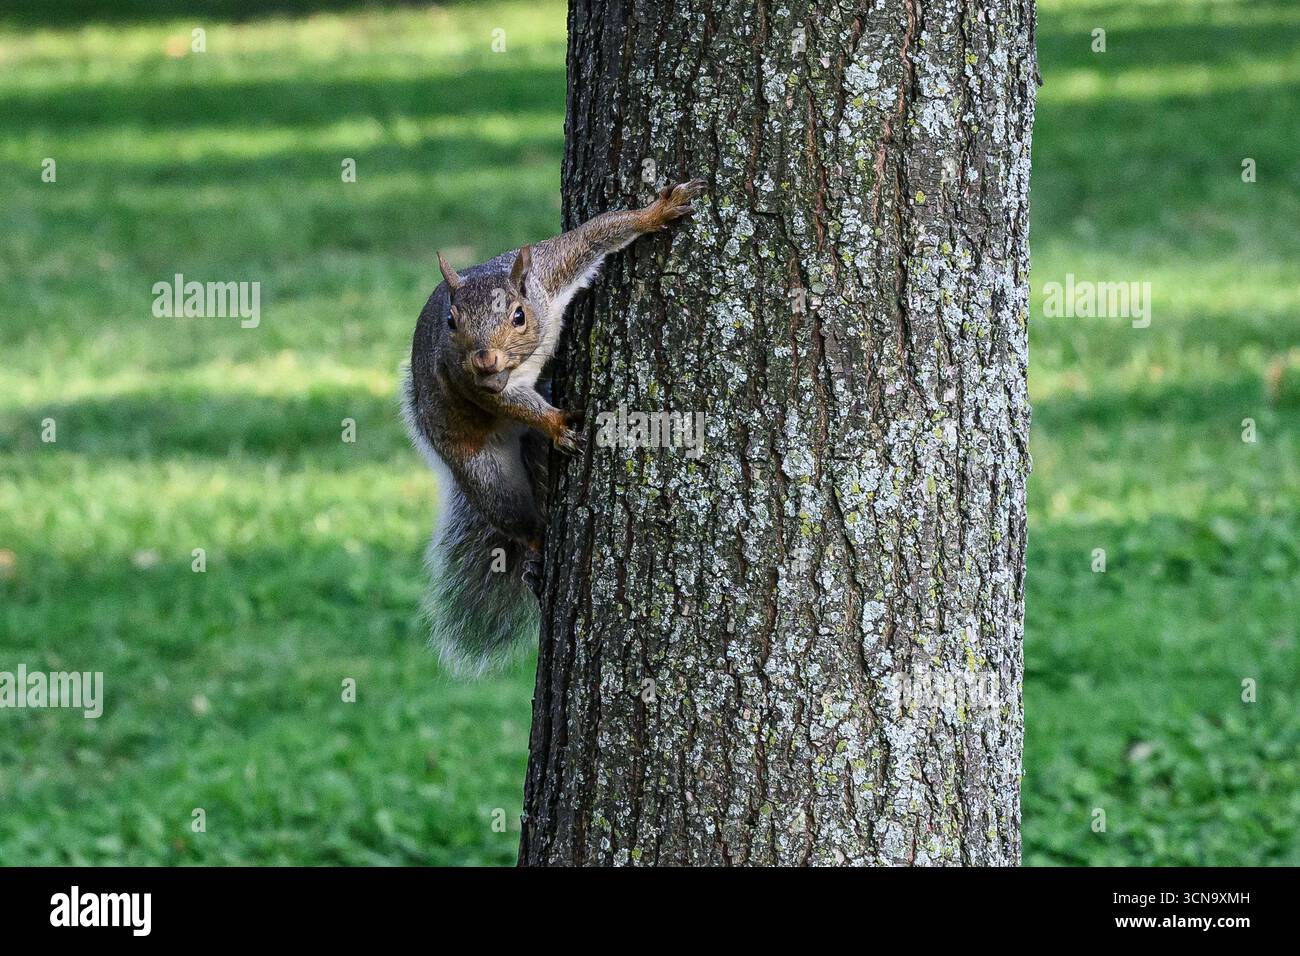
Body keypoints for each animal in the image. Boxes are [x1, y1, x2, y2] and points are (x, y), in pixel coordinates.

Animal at [401, 179, 705, 675]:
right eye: (451, 322)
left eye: (518, 315)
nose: (485, 360)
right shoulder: (476, 383)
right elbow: (511, 402)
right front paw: (559, 425)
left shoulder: (551, 270)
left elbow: (597, 235)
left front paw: (656, 212)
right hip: (483, 471)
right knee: (515, 518)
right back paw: (537, 548)